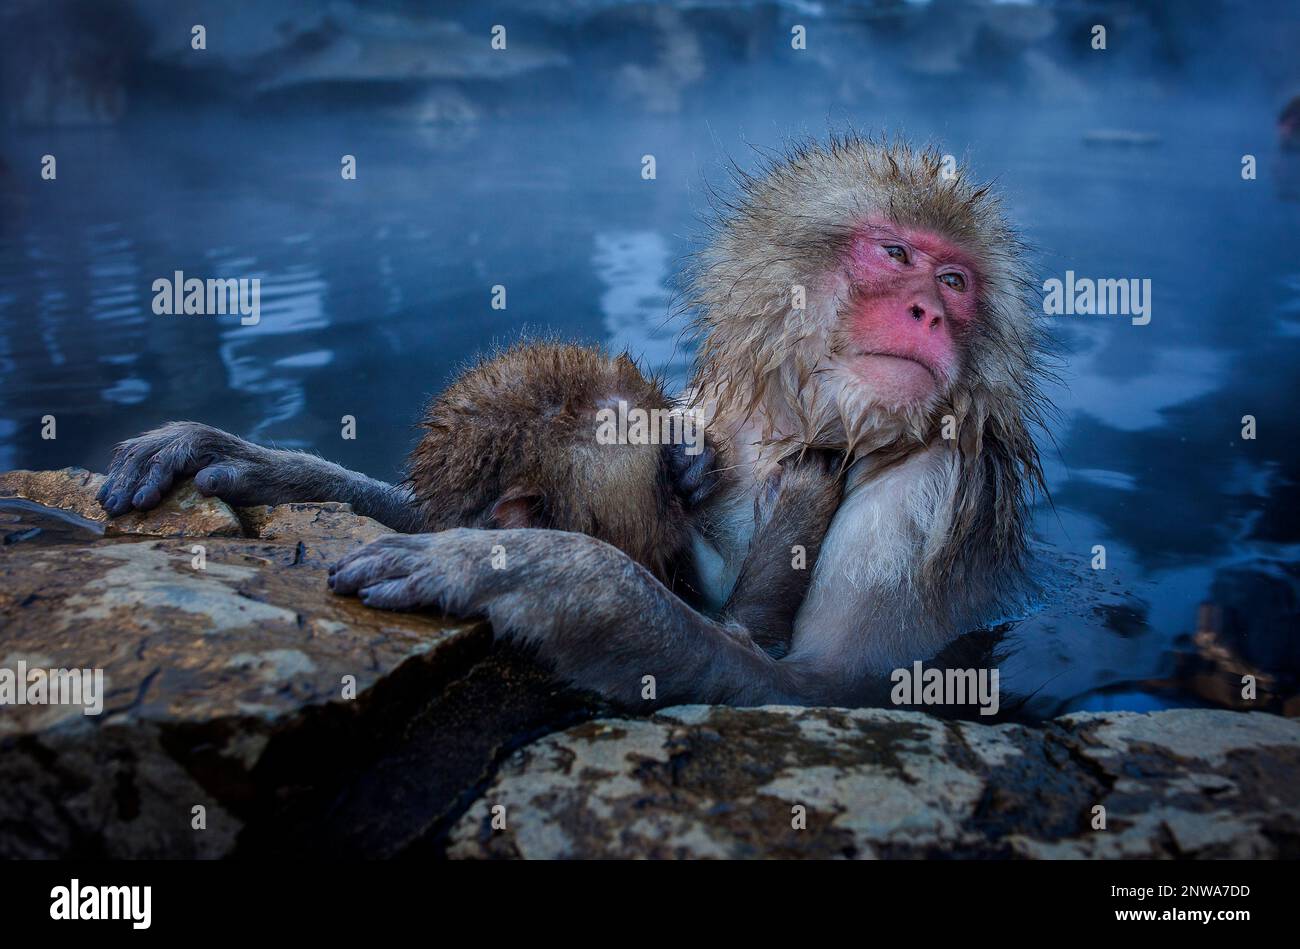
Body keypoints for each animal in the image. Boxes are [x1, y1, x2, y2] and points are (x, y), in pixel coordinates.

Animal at [99, 134, 1045, 710]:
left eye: (955, 280)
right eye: (897, 254)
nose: (930, 311)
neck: (797, 415)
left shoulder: (932, 492)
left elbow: (821, 686)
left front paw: (535, 573)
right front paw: (243, 456)